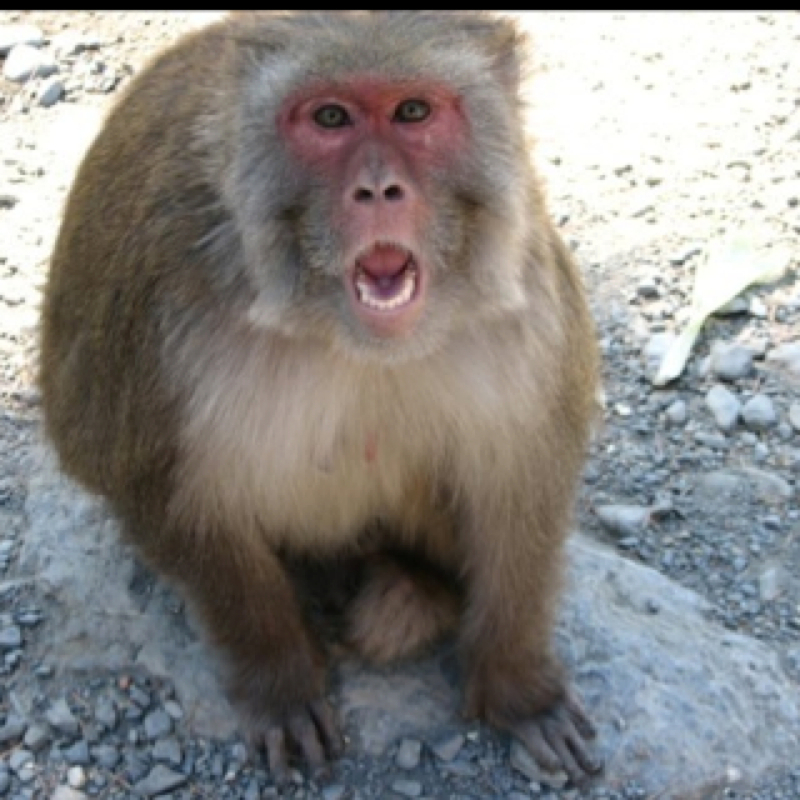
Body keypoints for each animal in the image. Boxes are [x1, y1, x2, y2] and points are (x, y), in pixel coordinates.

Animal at [39, 10, 602, 786]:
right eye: (330, 118)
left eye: (414, 112)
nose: (379, 190)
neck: (341, 329)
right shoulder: (164, 321)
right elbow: (171, 494)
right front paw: (282, 682)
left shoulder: (527, 305)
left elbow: (521, 488)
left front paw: (520, 689)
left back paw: (411, 590)